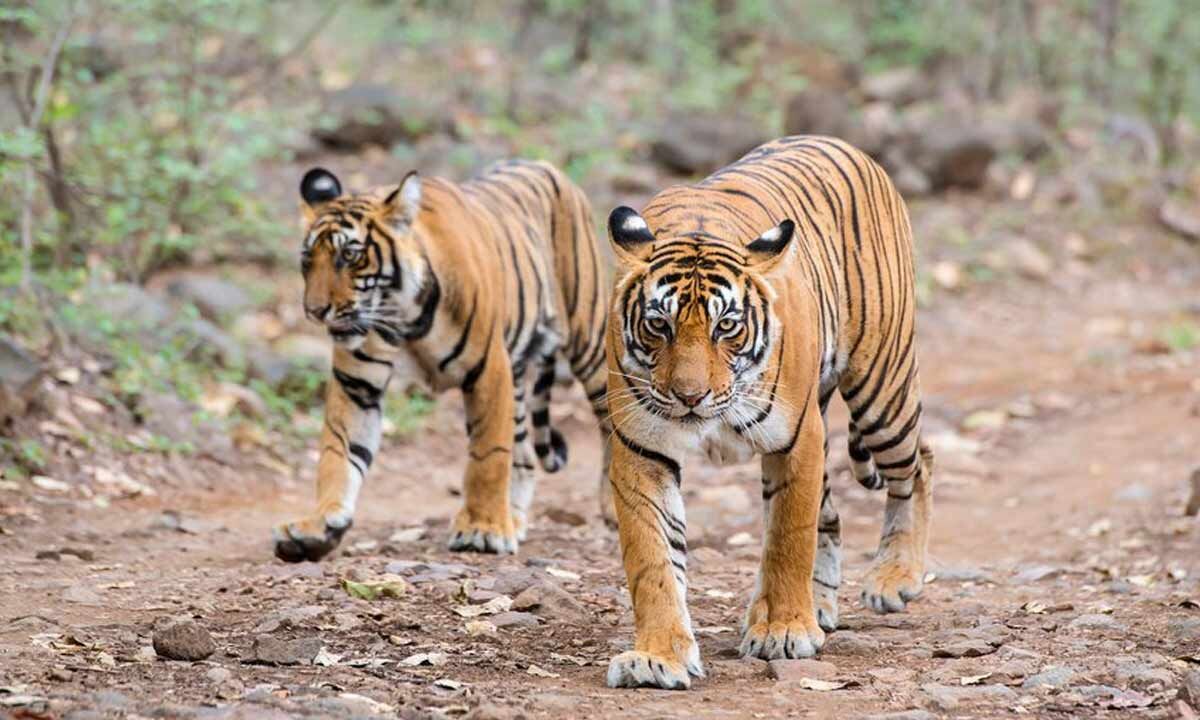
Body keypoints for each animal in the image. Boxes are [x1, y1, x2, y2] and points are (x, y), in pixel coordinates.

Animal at [272, 160, 610, 562]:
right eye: (308, 260)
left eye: (349, 256)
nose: (315, 311)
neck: (403, 317)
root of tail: (545, 165)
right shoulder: (357, 384)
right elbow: (338, 450)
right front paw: (318, 526)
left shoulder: (488, 369)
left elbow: (488, 455)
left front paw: (482, 529)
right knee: (525, 451)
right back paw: (513, 518)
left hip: (589, 339)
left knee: (611, 423)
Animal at [602, 135, 934, 689]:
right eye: (658, 325)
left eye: (727, 326)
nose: (689, 396)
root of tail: (843, 144)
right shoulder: (641, 448)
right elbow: (652, 559)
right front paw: (658, 656)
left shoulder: (796, 439)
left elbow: (788, 537)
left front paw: (783, 630)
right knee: (833, 514)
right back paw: (819, 605)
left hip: (880, 390)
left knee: (918, 464)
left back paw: (894, 578)